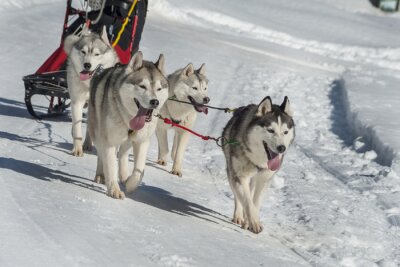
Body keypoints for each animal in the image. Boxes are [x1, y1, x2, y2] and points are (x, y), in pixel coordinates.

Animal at [64, 25, 119, 157]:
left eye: (97, 54)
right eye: (83, 52)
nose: (87, 65)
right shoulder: (77, 102)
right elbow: (77, 127)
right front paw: (77, 149)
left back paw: (88, 143)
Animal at [88, 51, 168, 199]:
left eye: (159, 89)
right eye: (142, 86)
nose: (155, 102)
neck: (129, 118)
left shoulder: (142, 141)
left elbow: (139, 170)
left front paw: (130, 184)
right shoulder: (109, 142)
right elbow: (110, 166)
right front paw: (114, 190)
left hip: (128, 140)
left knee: (123, 154)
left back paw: (124, 176)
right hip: (97, 133)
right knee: (102, 155)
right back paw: (101, 175)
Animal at [222, 97, 294, 234]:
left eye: (285, 132)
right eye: (270, 130)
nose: (281, 148)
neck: (259, 160)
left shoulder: (264, 179)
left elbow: (255, 202)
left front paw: (250, 222)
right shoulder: (239, 176)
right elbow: (247, 201)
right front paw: (254, 222)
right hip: (231, 171)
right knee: (238, 196)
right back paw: (239, 216)